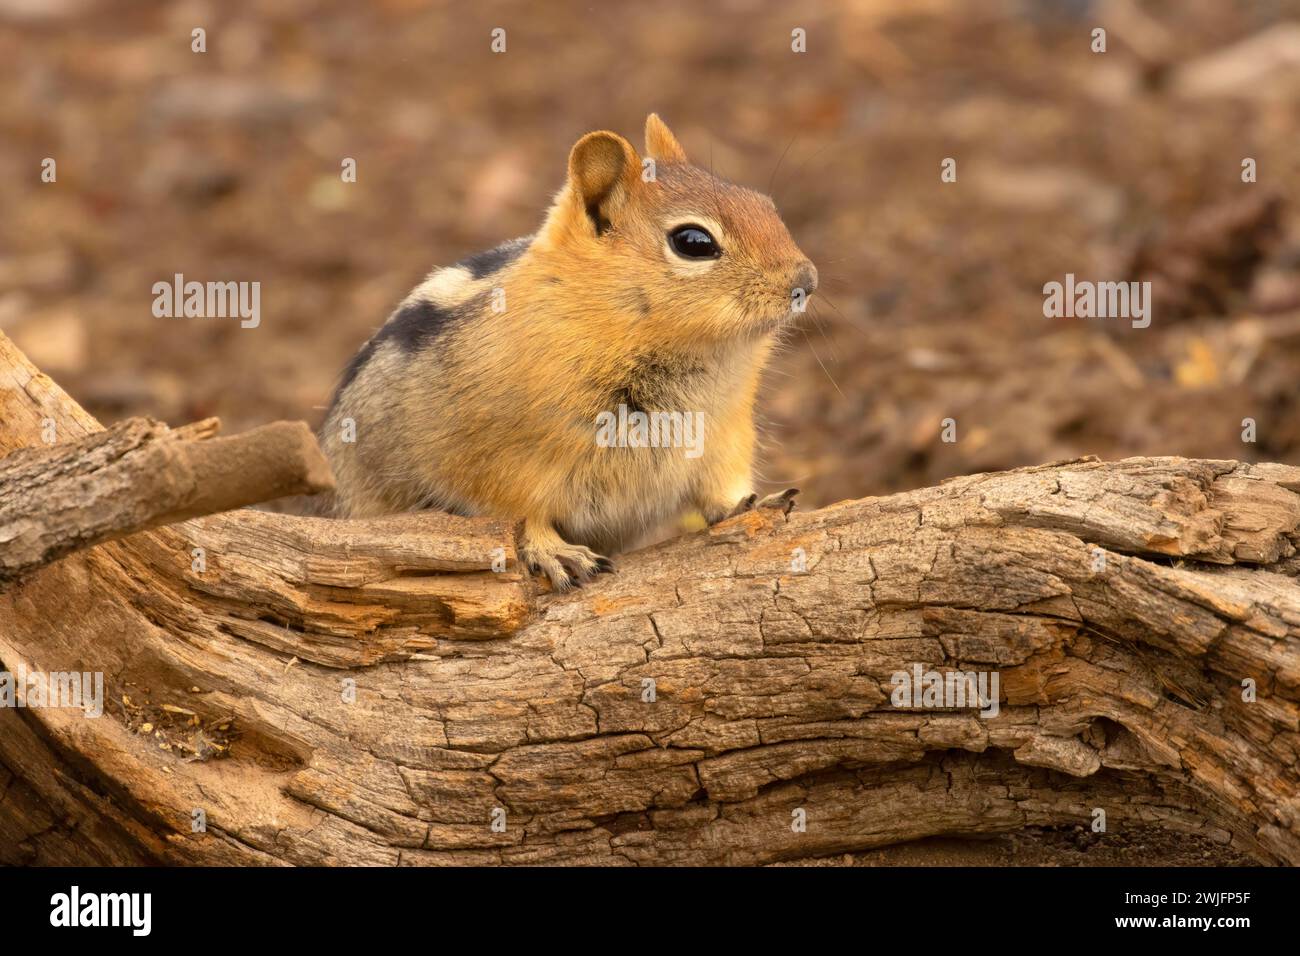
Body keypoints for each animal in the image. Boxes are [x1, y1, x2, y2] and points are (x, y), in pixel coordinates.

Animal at [320, 114, 817, 590]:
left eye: (764, 203)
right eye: (693, 242)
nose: (807, 281)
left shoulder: (724, 437)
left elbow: (720, 490)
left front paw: (753, 504)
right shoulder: (497, 462)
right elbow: (518, 514)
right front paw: (552, 550)